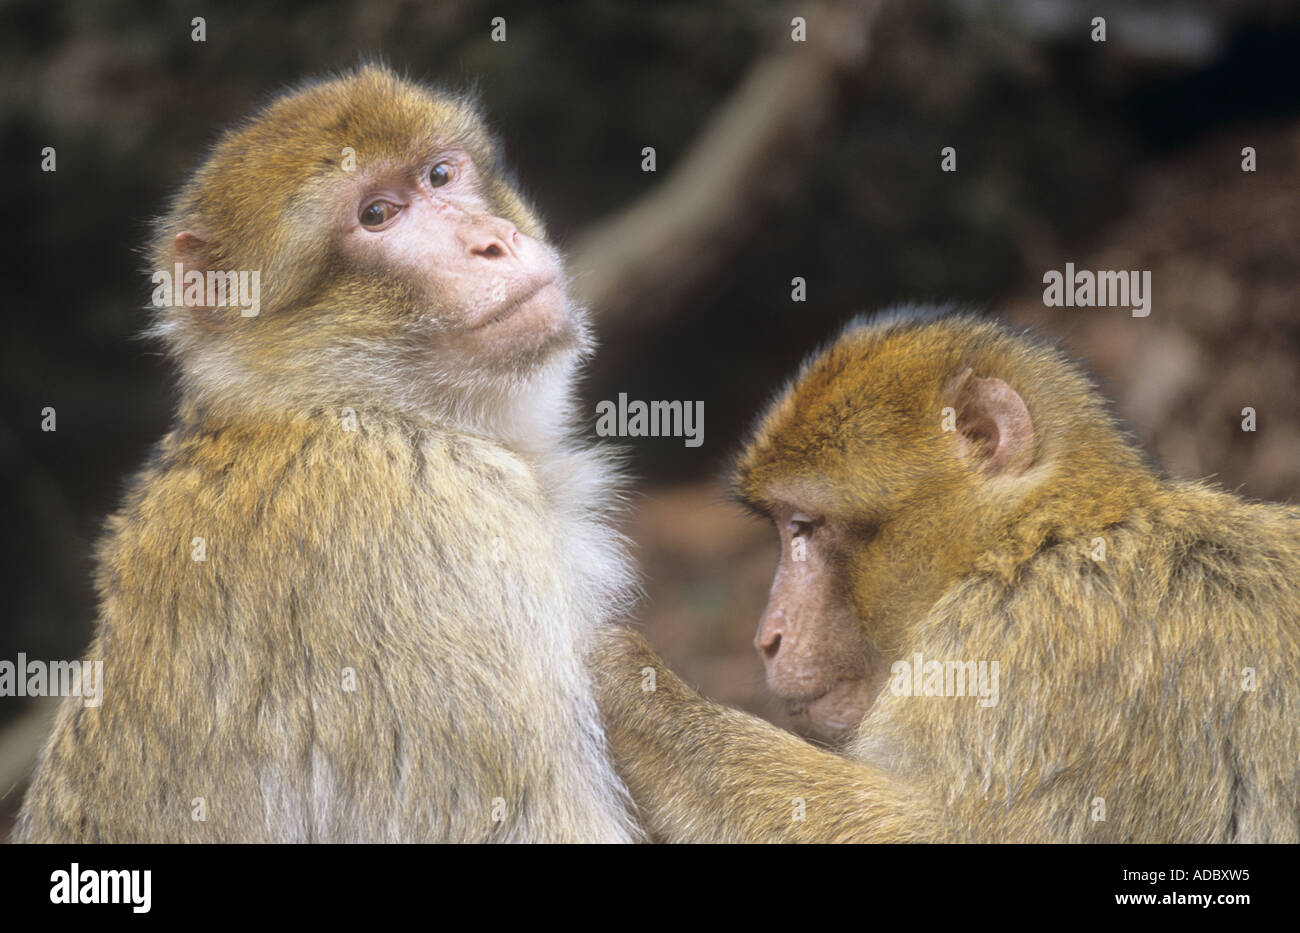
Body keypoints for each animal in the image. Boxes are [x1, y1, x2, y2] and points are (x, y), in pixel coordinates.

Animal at [593, 308, 1300, 843]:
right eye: (785, 528)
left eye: (804, 527)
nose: (768, 637)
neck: (1035, 540)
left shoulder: (1038, 645)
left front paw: (636, 691)